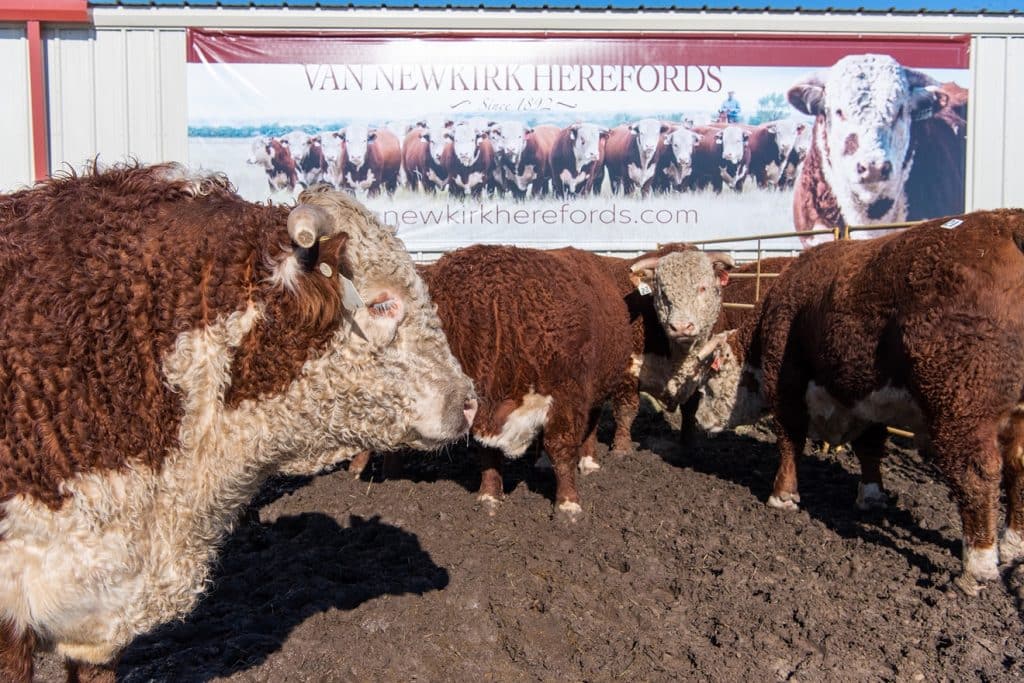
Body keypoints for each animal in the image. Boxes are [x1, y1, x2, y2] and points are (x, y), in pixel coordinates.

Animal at [685, 210, 1024, 595]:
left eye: (708, 382)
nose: (699, 419)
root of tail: (1005, 223)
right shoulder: (867, 399)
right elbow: (870, 448)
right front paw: (871, 495)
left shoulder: (786, 386)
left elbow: (789, 440)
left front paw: (782, 495)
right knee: (1016, 467)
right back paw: (1013, 544)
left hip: (960, 409)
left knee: (976, 474)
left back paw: (977, 567)